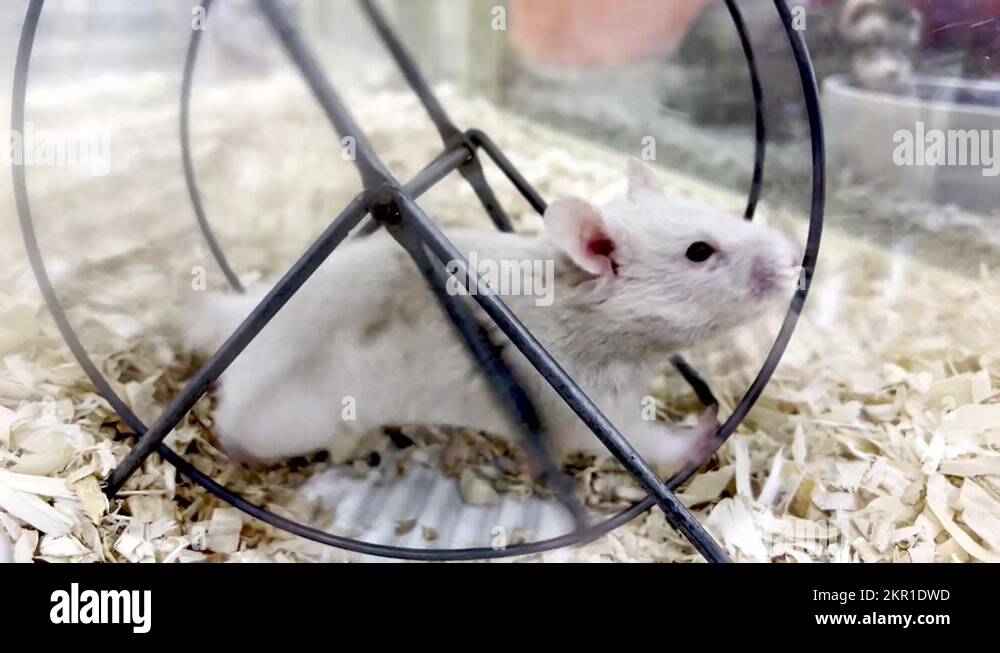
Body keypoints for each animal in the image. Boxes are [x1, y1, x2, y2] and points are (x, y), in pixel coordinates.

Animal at [183, 159, 799, 474]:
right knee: (235, 435)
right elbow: (636, 441)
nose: (795, 256)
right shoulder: (585, 401)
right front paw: (707, 430)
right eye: (700, 251)